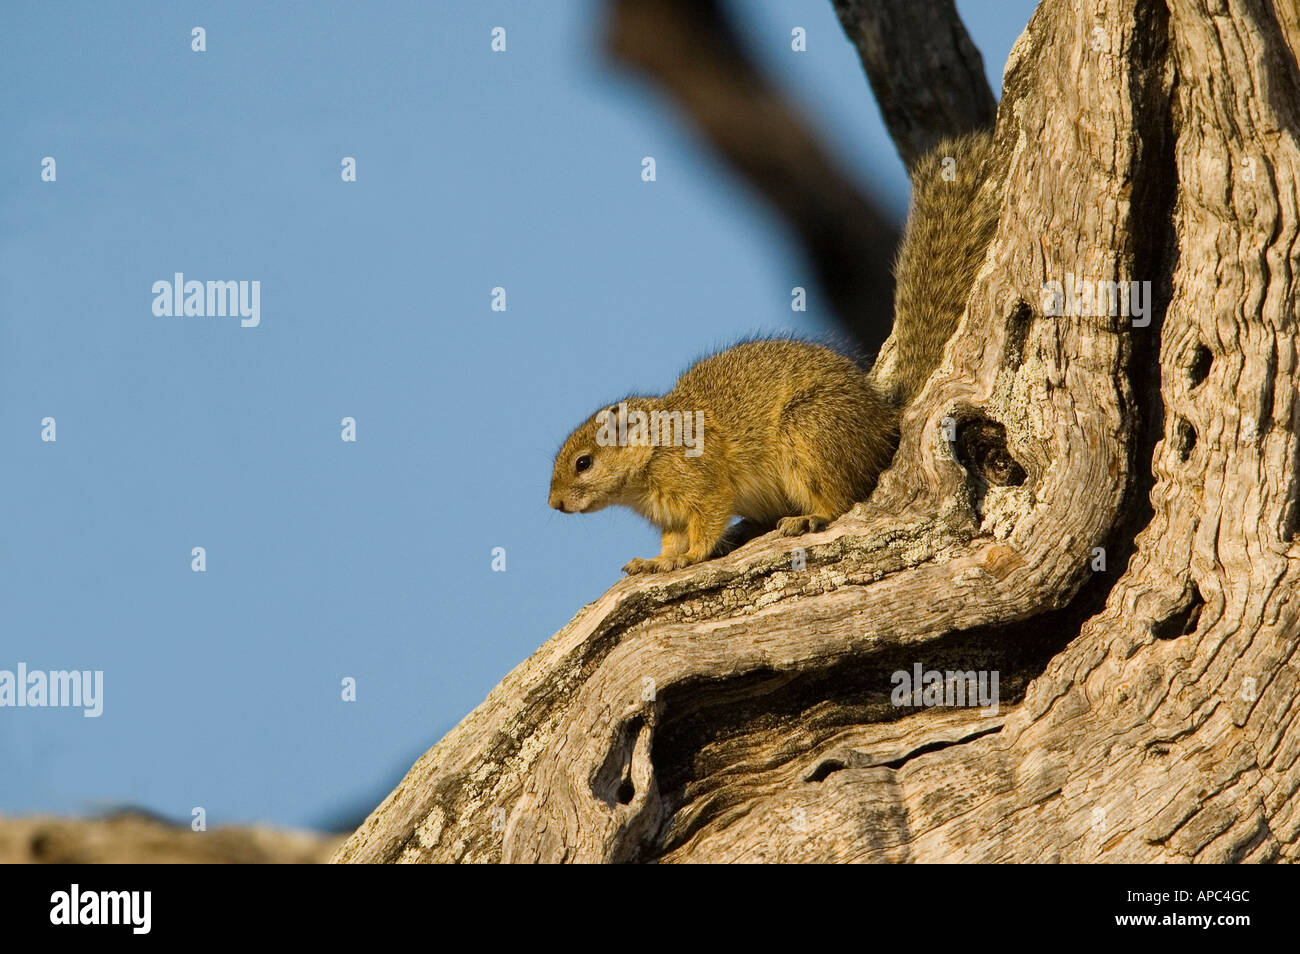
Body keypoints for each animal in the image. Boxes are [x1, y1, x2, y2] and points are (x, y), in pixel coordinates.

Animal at [549, 130, 1003, 574]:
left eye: (583, 463)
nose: (554, 504)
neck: (654, 451)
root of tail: (884, 421)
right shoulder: (670, 514)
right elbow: (672, 539)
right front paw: (655, 561)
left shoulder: (702, 481)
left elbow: (707, 522)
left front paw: (691, 557)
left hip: (811, 433)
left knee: (839, 500)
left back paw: (809, 517)